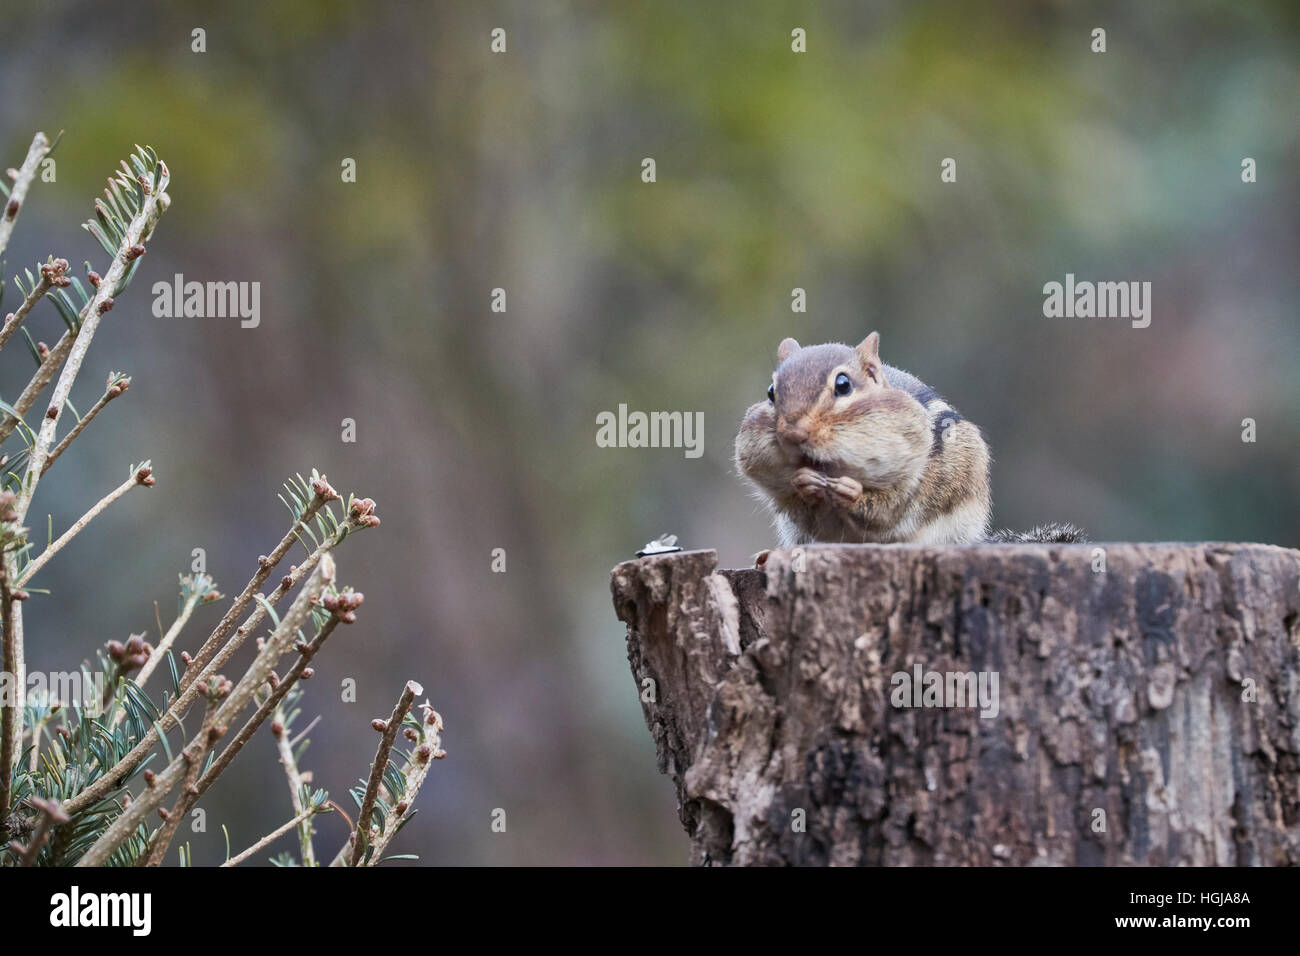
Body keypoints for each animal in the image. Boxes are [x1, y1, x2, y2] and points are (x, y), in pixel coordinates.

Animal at [734, 331, 1085, 548]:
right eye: (770, 392)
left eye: (843, 385)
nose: (792, 432)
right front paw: (804, 482)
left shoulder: (916, 477)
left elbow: (889, 507)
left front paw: (850, 492)